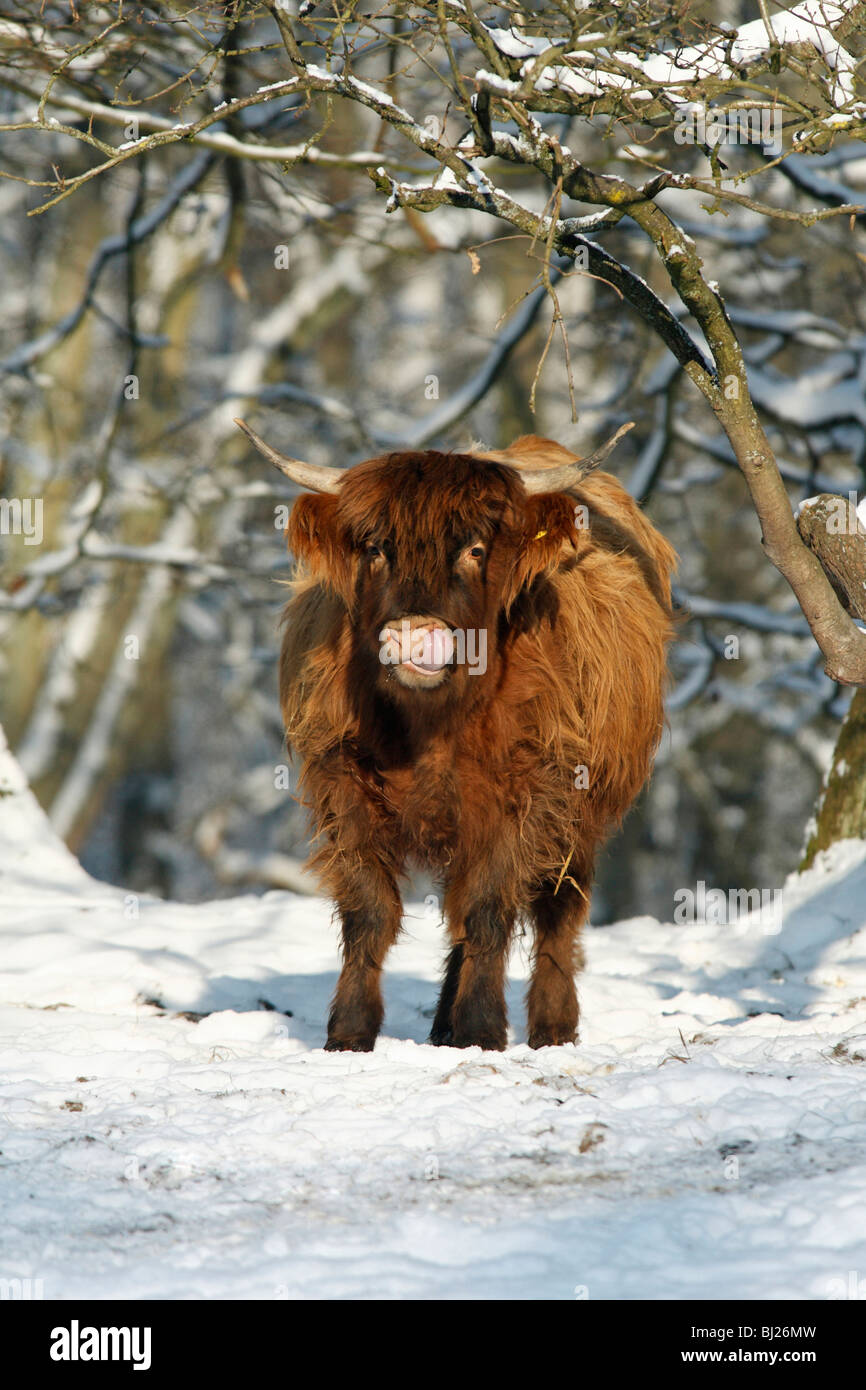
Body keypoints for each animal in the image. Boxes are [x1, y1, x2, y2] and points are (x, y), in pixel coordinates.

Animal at [236, 418, 676, 1053]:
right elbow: (370, 910)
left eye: (474, 549)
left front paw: (482, 1028)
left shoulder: (530, 791)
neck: (433, 726)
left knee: (557, 909)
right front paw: (350, 1032)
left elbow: (491, 909)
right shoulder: (341, 780)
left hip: (584, 814)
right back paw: (444, 1027)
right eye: (375, 547)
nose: (417, 636)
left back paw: (552, 1027)